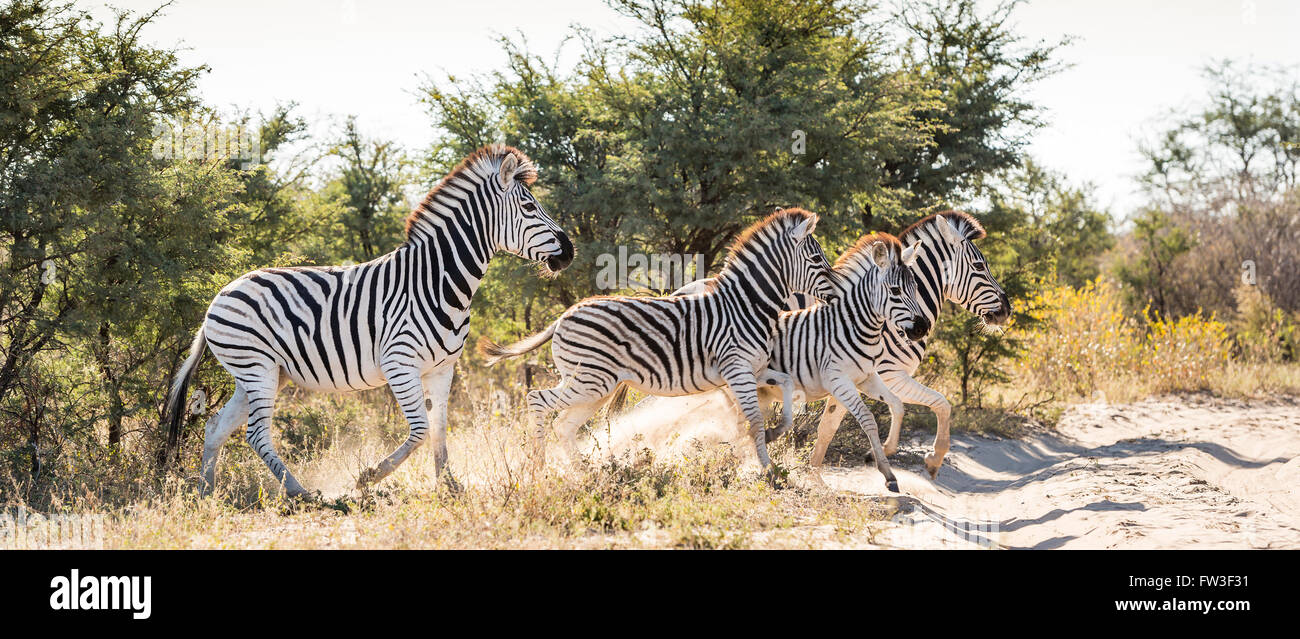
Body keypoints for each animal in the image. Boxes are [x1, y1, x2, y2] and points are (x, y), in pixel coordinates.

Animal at [162, 144, 574, 497]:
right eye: (529, 206)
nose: (569, 252)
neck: (437, 280)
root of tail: (218, 297)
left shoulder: (443, 369)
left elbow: (440, 429)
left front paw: (449, 485)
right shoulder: (400, 363)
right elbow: (420, 430)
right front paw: (368, 477)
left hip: (261, 373)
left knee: (216, 426)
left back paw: (206, 493)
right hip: (256, 366)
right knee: (256, 434)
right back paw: (299, 492)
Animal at [477, 208, 841, 475]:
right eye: (817, 260)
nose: (838, 294)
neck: (744, 305)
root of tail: (564, 315)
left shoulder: (754, 370)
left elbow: (786, 388)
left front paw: (775, 435)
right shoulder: (737, 370)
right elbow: (752, 418)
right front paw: (767, 469)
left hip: (594, 385)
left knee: (564, 425)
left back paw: (585, 474)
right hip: (590, 381)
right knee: (537, 400)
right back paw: (539, 469)